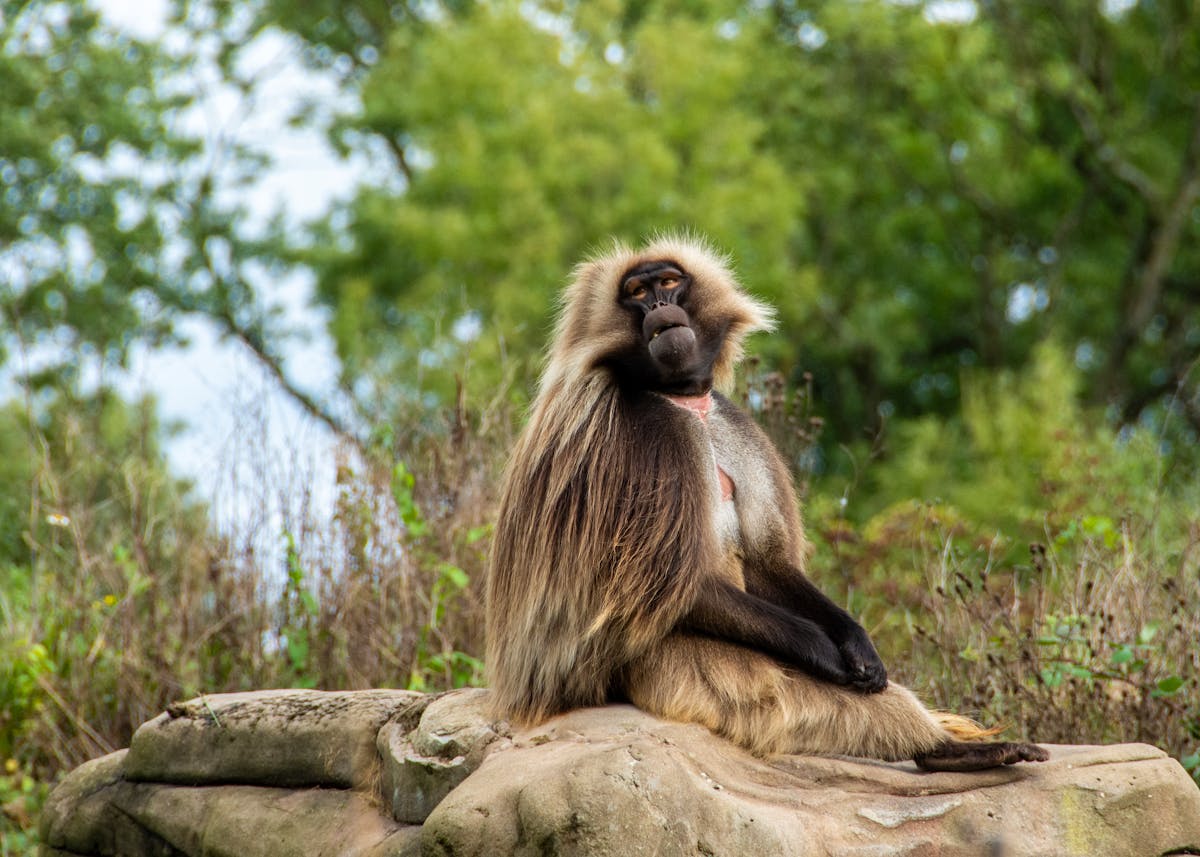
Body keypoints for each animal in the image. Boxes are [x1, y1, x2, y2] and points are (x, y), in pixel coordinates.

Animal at [485, 235, 1048, 772]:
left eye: (668, 282)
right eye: (637, 292)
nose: (660, 307)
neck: (680, 399)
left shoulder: (734, 423)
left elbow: (766, 566)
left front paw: (857, 644)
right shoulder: (636, 440)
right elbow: (670, 583)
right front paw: (823, 651)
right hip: (669, 672)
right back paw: (943, 751)